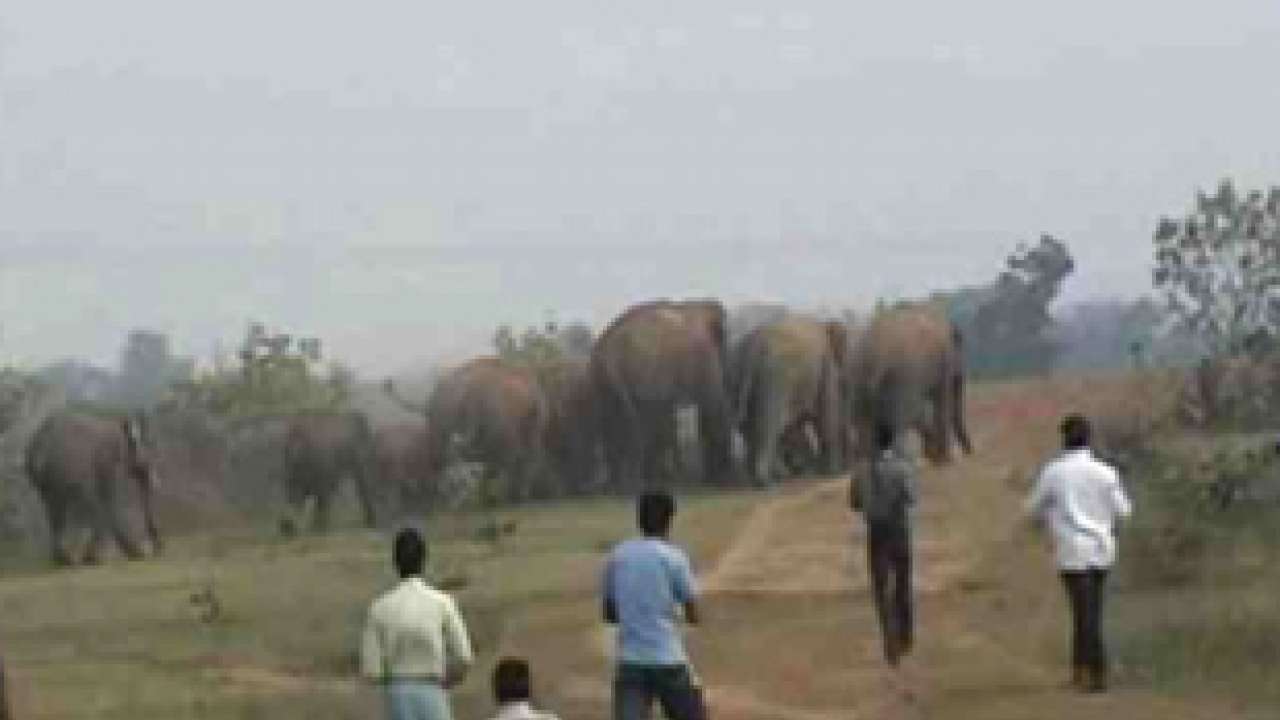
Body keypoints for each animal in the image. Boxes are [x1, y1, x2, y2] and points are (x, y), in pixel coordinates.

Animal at [24, 409, 163, 565]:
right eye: (144, 468)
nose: (159, 549)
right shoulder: (112, 467)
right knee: (85, 505)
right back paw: (79, 558)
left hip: (46, 478)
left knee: (56, 509)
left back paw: (65, 559)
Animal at [590, 298, 735, 491]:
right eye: (723, 341)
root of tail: (608, 356)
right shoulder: (701, 355)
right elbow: (713, 404)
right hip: (643, 373)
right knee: (642, 422)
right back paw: (639, 484)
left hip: (603, 383)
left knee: (614, 423)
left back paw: (621, 486)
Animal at [732, 316, 851, 486]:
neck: (824, 324)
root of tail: (753, 347)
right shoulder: (826, 367)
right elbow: (826, 417)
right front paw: (832, 473)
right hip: (775, 379)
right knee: (768, 427)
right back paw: (768, 483)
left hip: (736, 378)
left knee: (749, 426)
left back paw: (772, 477)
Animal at [850, 305, 972, 464]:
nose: (970, 452)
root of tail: (875, 355)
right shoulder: (945, 363)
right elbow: (942, 403)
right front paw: (944, 460)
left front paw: (935, 456)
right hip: (902, 376)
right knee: (904, 419)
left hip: (859, 380)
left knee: (867, 424)